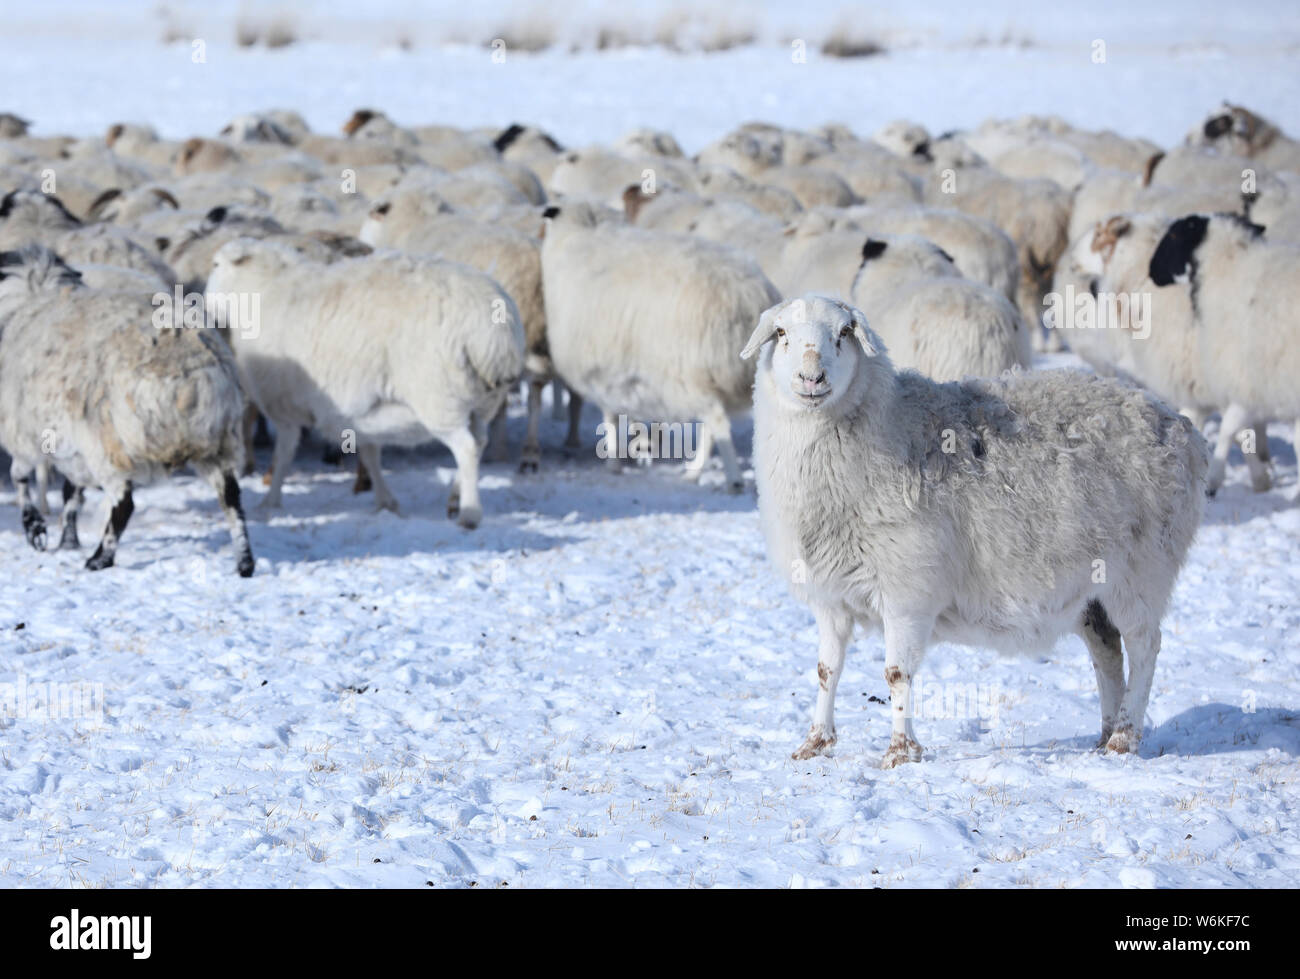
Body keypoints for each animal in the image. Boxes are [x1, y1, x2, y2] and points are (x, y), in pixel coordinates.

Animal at [0, 245, 253, 575]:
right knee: (231, 496)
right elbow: (72, 493)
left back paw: (99, 558)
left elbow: (20, 476)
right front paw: (66, 539)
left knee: (124, 505)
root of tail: (189, 373)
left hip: (109, 445)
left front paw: (35, 528)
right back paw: (245, 561)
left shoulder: (23, 432)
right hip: (217, 441)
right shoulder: (70, 447)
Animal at [205, 239, 525, 527]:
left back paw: (470, 513)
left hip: (438, 395)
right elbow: (371, 455)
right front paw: (386, 502)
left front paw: (270, 501)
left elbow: (283, 457)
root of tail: (493, 334)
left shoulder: (285, 406)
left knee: (467, 447)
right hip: (480, 401)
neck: (263, 290)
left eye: (216, 265)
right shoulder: (362, 412)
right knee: (479, 440)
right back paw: (455, 499)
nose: (203, 303)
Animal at [541, 201, 781, 490]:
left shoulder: (601, 369)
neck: (583, 233)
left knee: (718, 423)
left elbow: (611, 416)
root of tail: (749, 298)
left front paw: (613, 461)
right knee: (712, 426)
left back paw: (724, 478)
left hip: (692, 374)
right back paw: (697, 471)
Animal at [741, 294, 1208, 765]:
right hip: (1093, 590)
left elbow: (896, 674)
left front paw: (900, 752)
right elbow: (826, 670)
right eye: (781, 332)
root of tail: (1180, 426)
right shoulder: (830, 597)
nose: (811, 378)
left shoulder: (908, 591)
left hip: (1142, 572)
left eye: (844, 332)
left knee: (1145, 645)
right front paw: (815, 742)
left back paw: (1124, 738)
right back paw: (1105, 734)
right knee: (1108, 650)